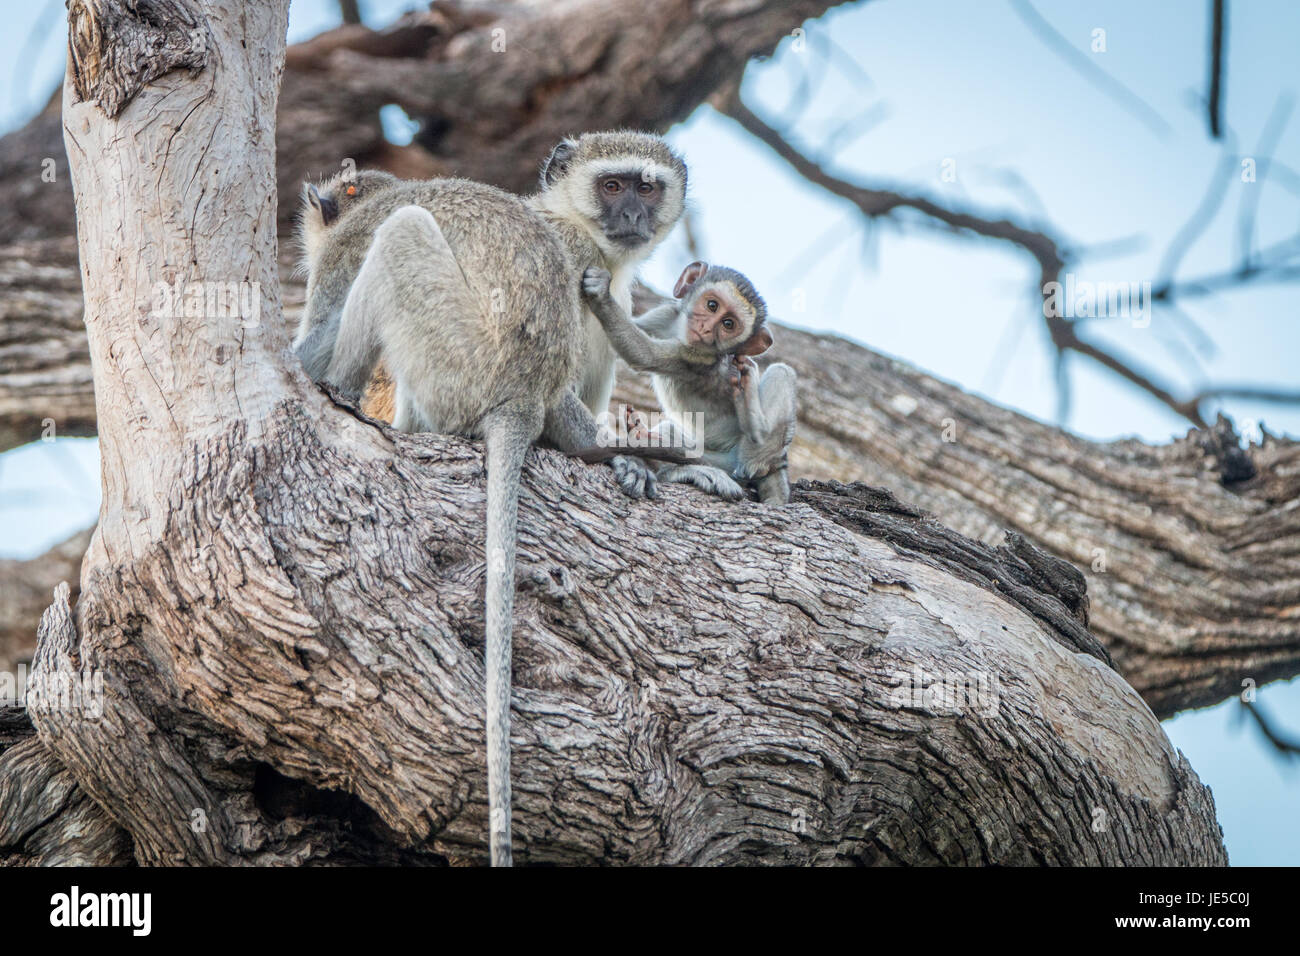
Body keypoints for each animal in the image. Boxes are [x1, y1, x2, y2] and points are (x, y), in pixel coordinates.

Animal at [581, 260, 797, 505]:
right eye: (712, 305)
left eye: (728, 324)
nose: (705, 328)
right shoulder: (664, 315)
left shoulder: (695, 357)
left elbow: (642, 354)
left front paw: (602, 294)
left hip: (736, 462)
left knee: (781, 371)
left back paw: (753, 425)